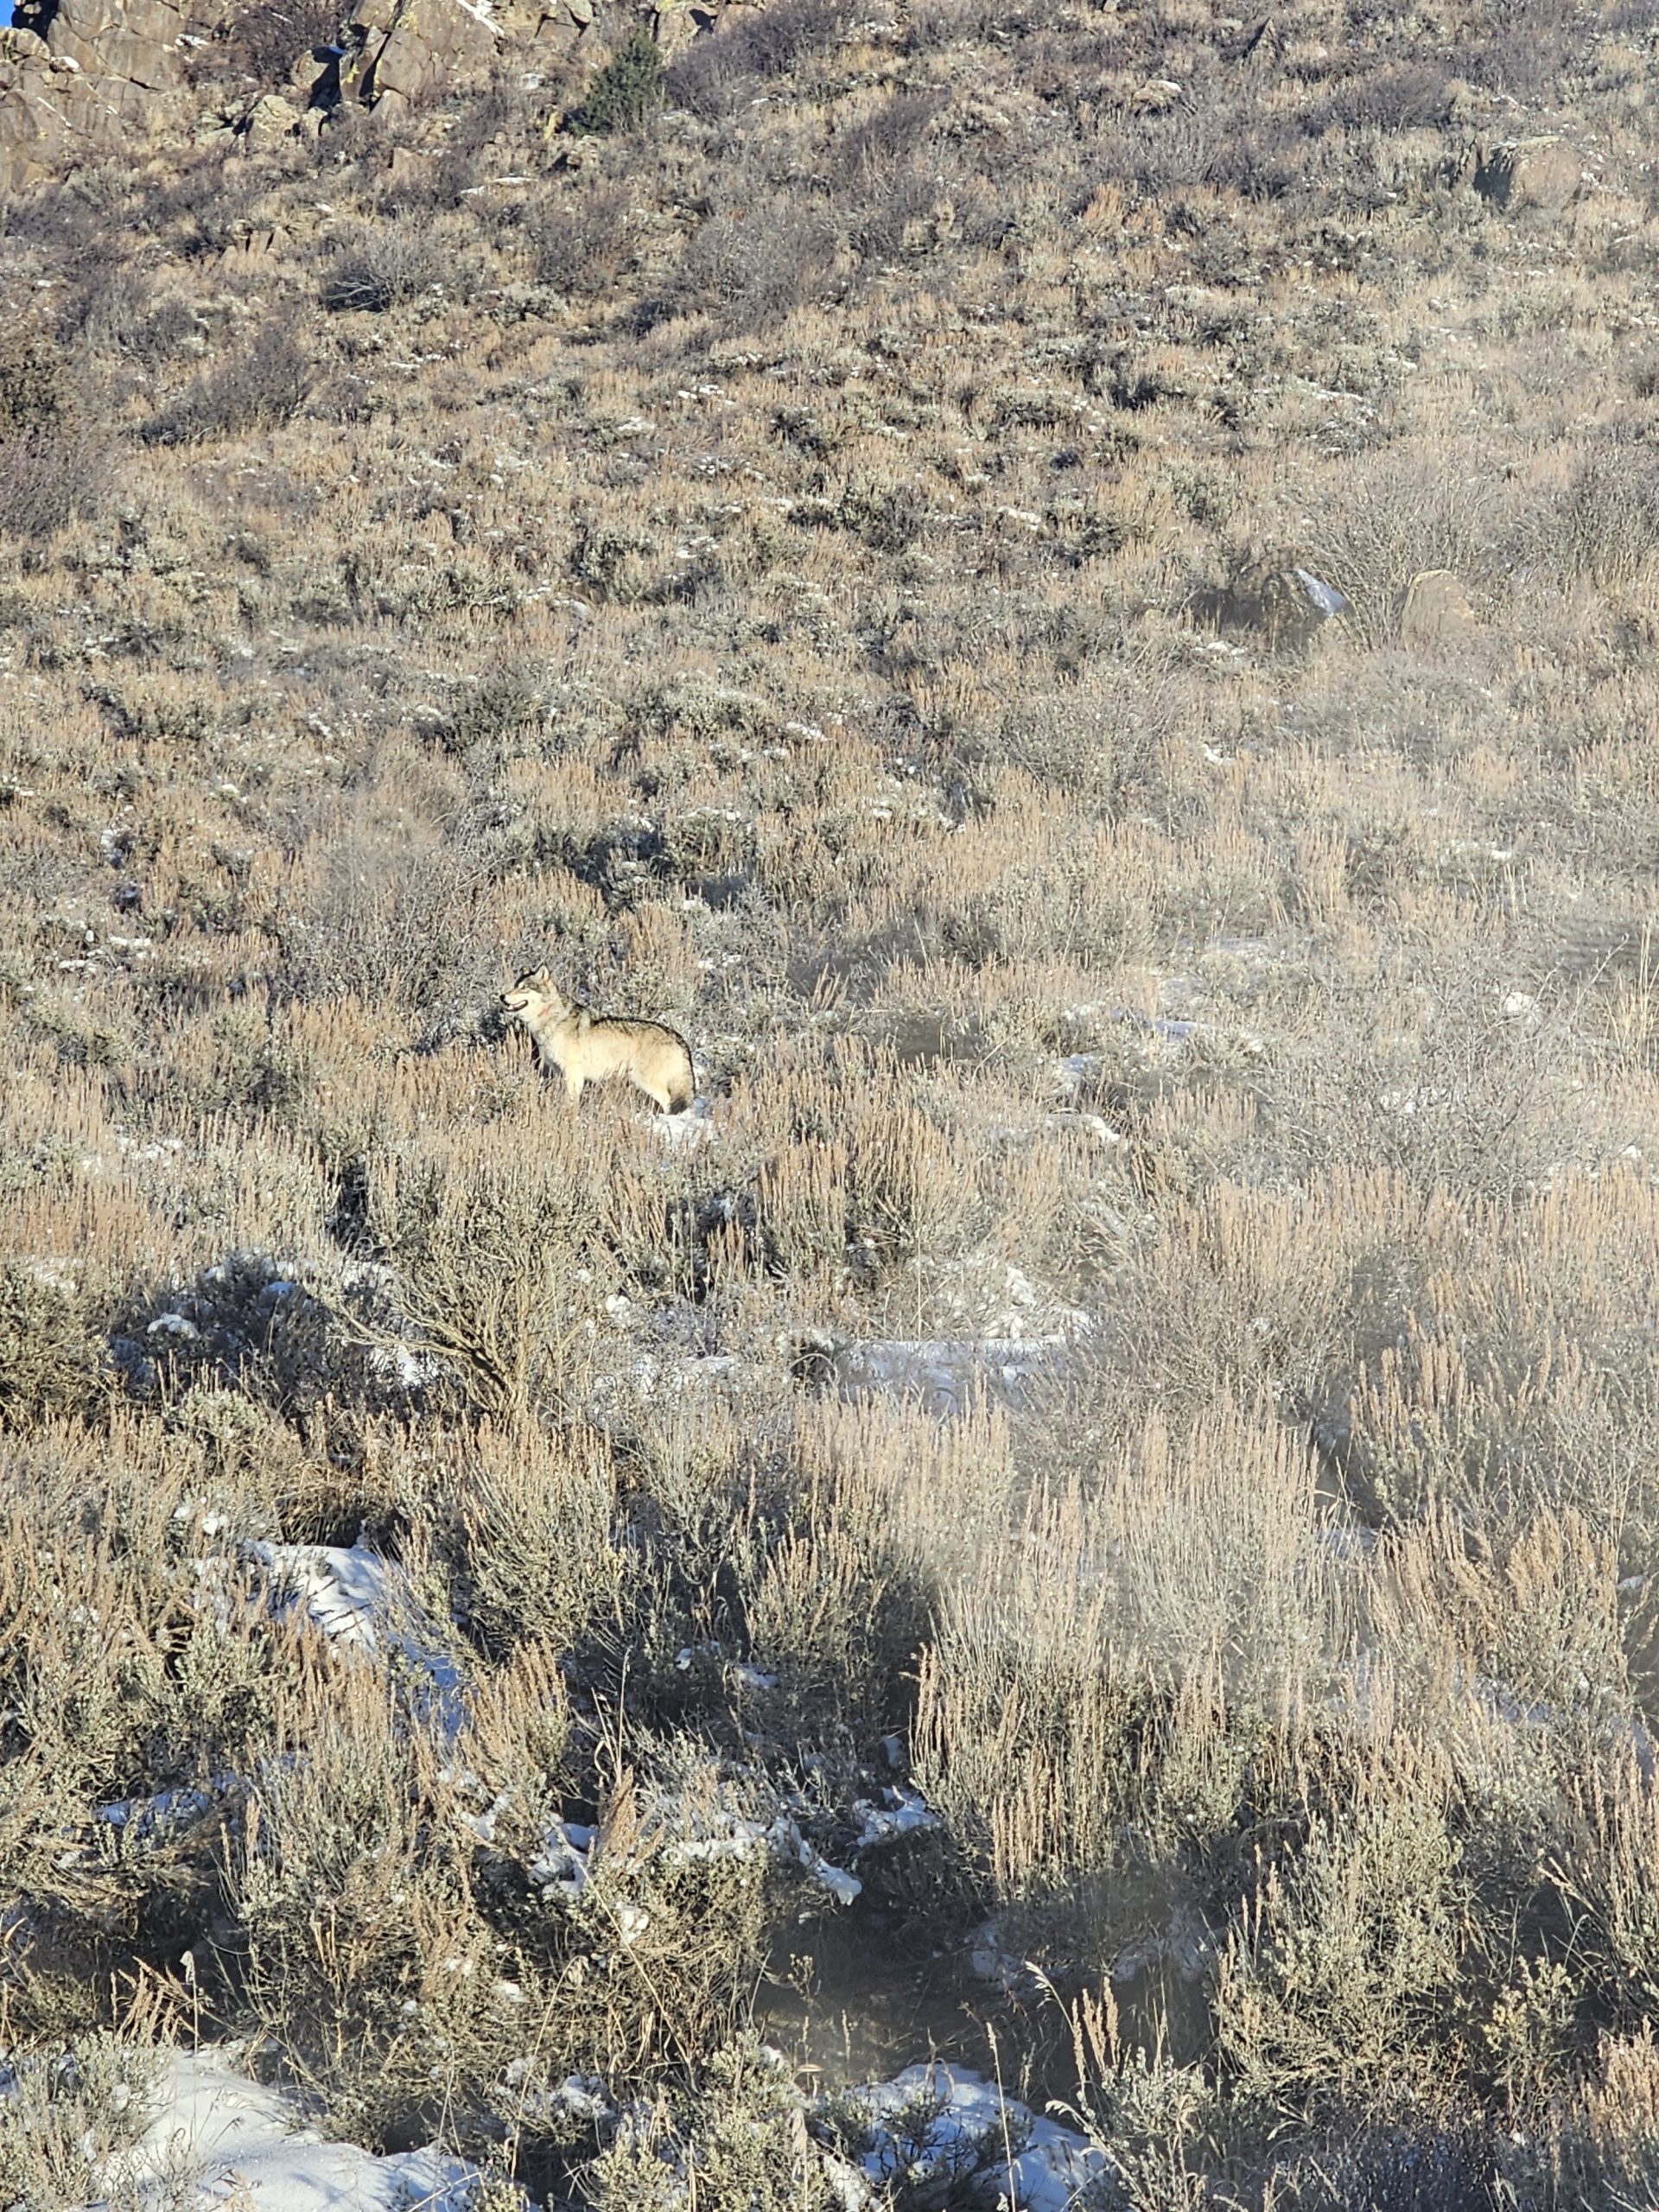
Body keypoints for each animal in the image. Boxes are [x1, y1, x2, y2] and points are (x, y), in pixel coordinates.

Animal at [501, 968, 696, 1114]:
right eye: (515, 986)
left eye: (524, 988)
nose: (502, 996)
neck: (550, 1018)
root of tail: (679, 1037)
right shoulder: (558, 1071)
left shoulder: (573, 1071)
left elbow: (571, 1099)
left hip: (644, 1080)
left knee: (667, 1100)